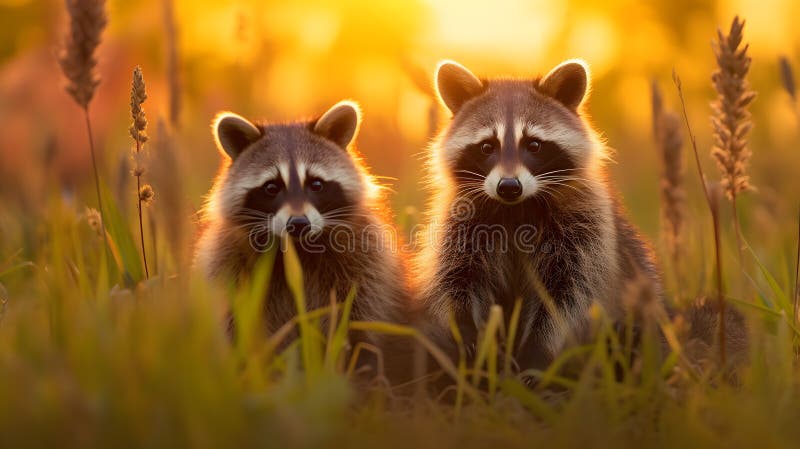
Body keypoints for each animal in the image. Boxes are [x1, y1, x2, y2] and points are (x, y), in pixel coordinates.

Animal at [195, 101, 411, 372]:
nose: (298, 224)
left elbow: (361, 316)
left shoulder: (365, 257)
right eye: (271, 187)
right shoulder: (229, 262)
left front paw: (358, 364)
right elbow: (236, 322)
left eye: (316, 184)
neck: (297, 249)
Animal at [415, 60, 662, 373]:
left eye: (533, 145)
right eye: (487, 146)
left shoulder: (586, 224)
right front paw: (465, 327)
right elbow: (455, 276)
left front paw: (537, 350)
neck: (515, 207)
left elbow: (568, 293)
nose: (509, 186)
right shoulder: (460, 219)